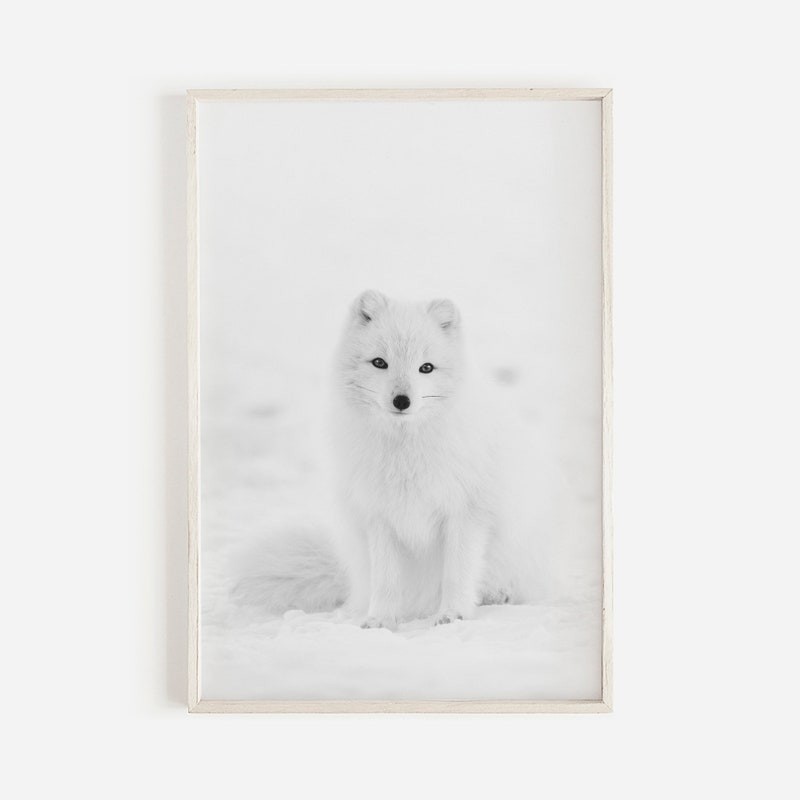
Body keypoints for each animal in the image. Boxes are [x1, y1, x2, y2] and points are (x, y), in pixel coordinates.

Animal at [233, 290, 531, 629]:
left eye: (426, 368)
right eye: (379, 362)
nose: (402, 400)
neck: (405, 453)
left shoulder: (466, 512)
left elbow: (458, 572)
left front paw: (452, 614)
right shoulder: (379, 517)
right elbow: (386, 579)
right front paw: (380, 620)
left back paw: (498, 594)